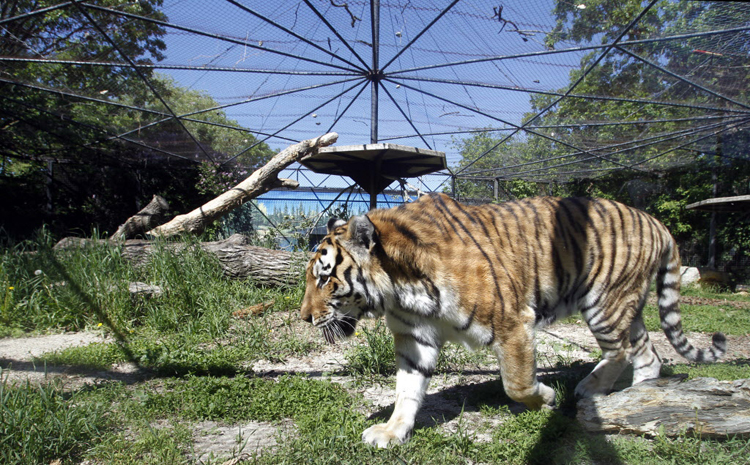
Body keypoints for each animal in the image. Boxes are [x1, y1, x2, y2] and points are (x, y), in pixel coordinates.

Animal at [300, 193, 726, 448]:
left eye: (324, 279)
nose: (304, 317)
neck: (399, 288)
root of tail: (656, 221)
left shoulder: (513, 323)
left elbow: (517, 384)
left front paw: (546, 398)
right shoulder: (414, 340)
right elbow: (407, 389)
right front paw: (392, 431)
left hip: (605, 302)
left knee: (620, 350)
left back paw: (589, 390)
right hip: (626, 306)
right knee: (648, 353)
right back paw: (637, 399)